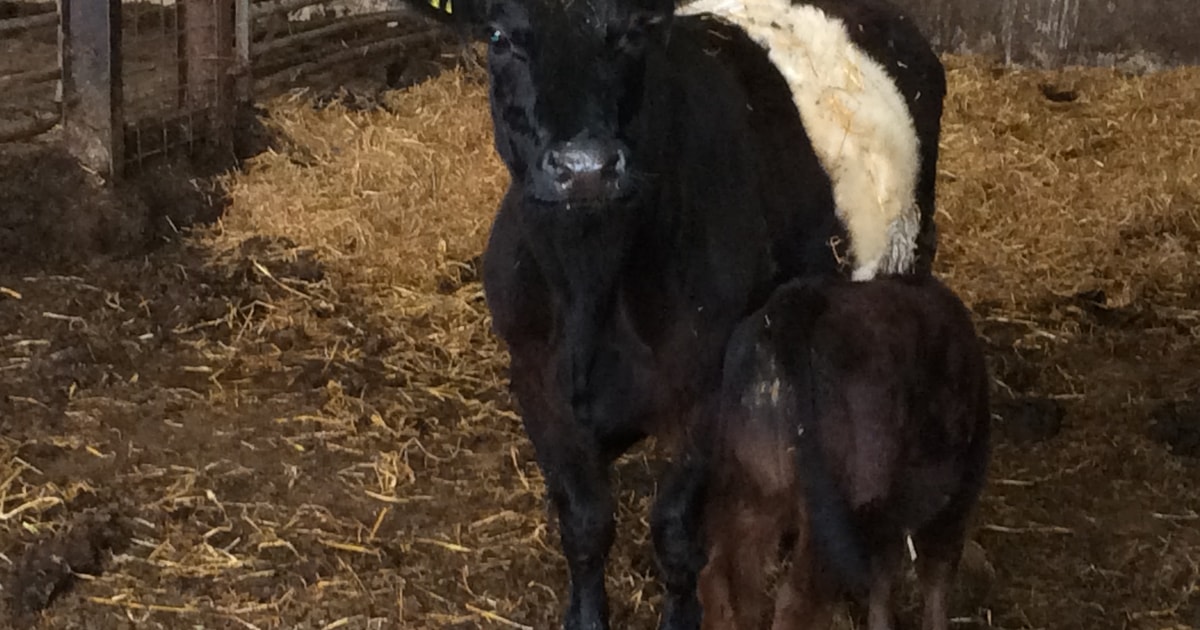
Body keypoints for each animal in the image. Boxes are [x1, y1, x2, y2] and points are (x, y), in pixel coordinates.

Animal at [398, 0, 948, 628]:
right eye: (498, 36)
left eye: (631, 32)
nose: (585, 168)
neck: (591, 285)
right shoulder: (535, 382)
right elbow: (584, 524)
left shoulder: (706, 392)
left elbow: (677, 531)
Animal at [698, 274, 991, 630]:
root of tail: (795, 303)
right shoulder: (952, 505)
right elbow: (935, 580)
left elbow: (882, 581)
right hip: (827, 519)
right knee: (796, 602)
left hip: (747, 488)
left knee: (723, 584)